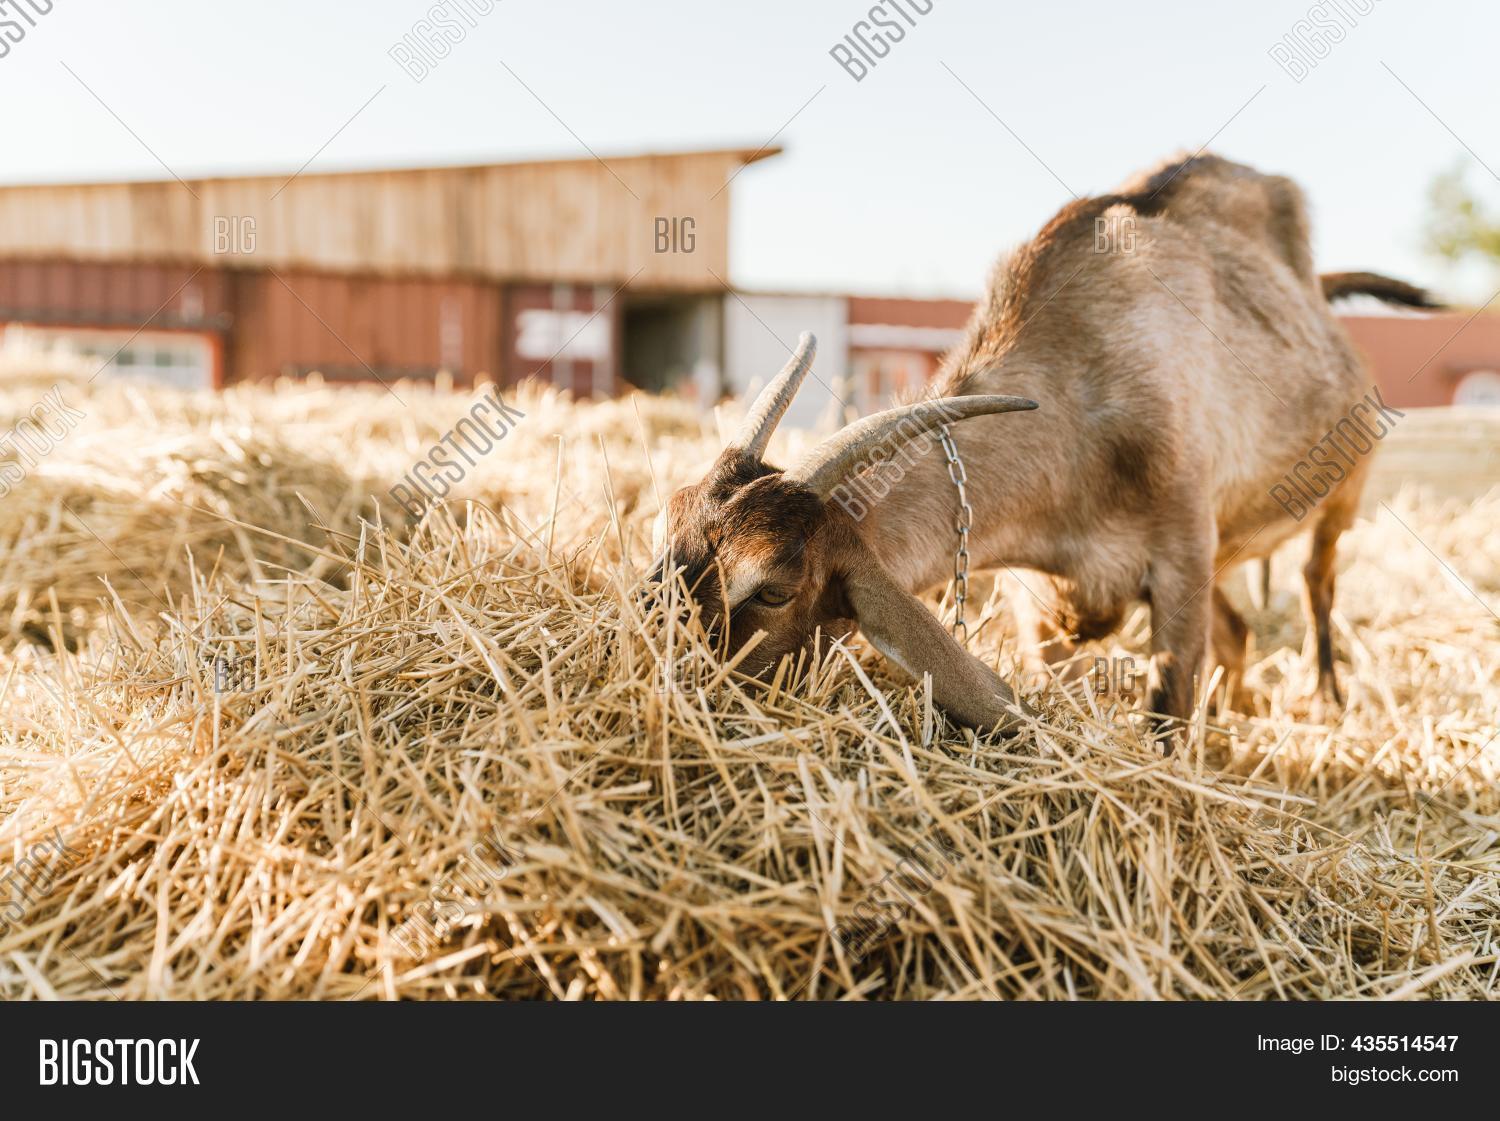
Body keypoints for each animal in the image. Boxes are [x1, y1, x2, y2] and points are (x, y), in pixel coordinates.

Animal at [650, 153, 1433, 739]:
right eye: (668, 529)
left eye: (773, 588)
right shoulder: (1038, 596)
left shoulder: (1182, 558)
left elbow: (1167, 715)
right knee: (1240, 632)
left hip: (1343, 497)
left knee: (1316, 583)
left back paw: (1324, 697)